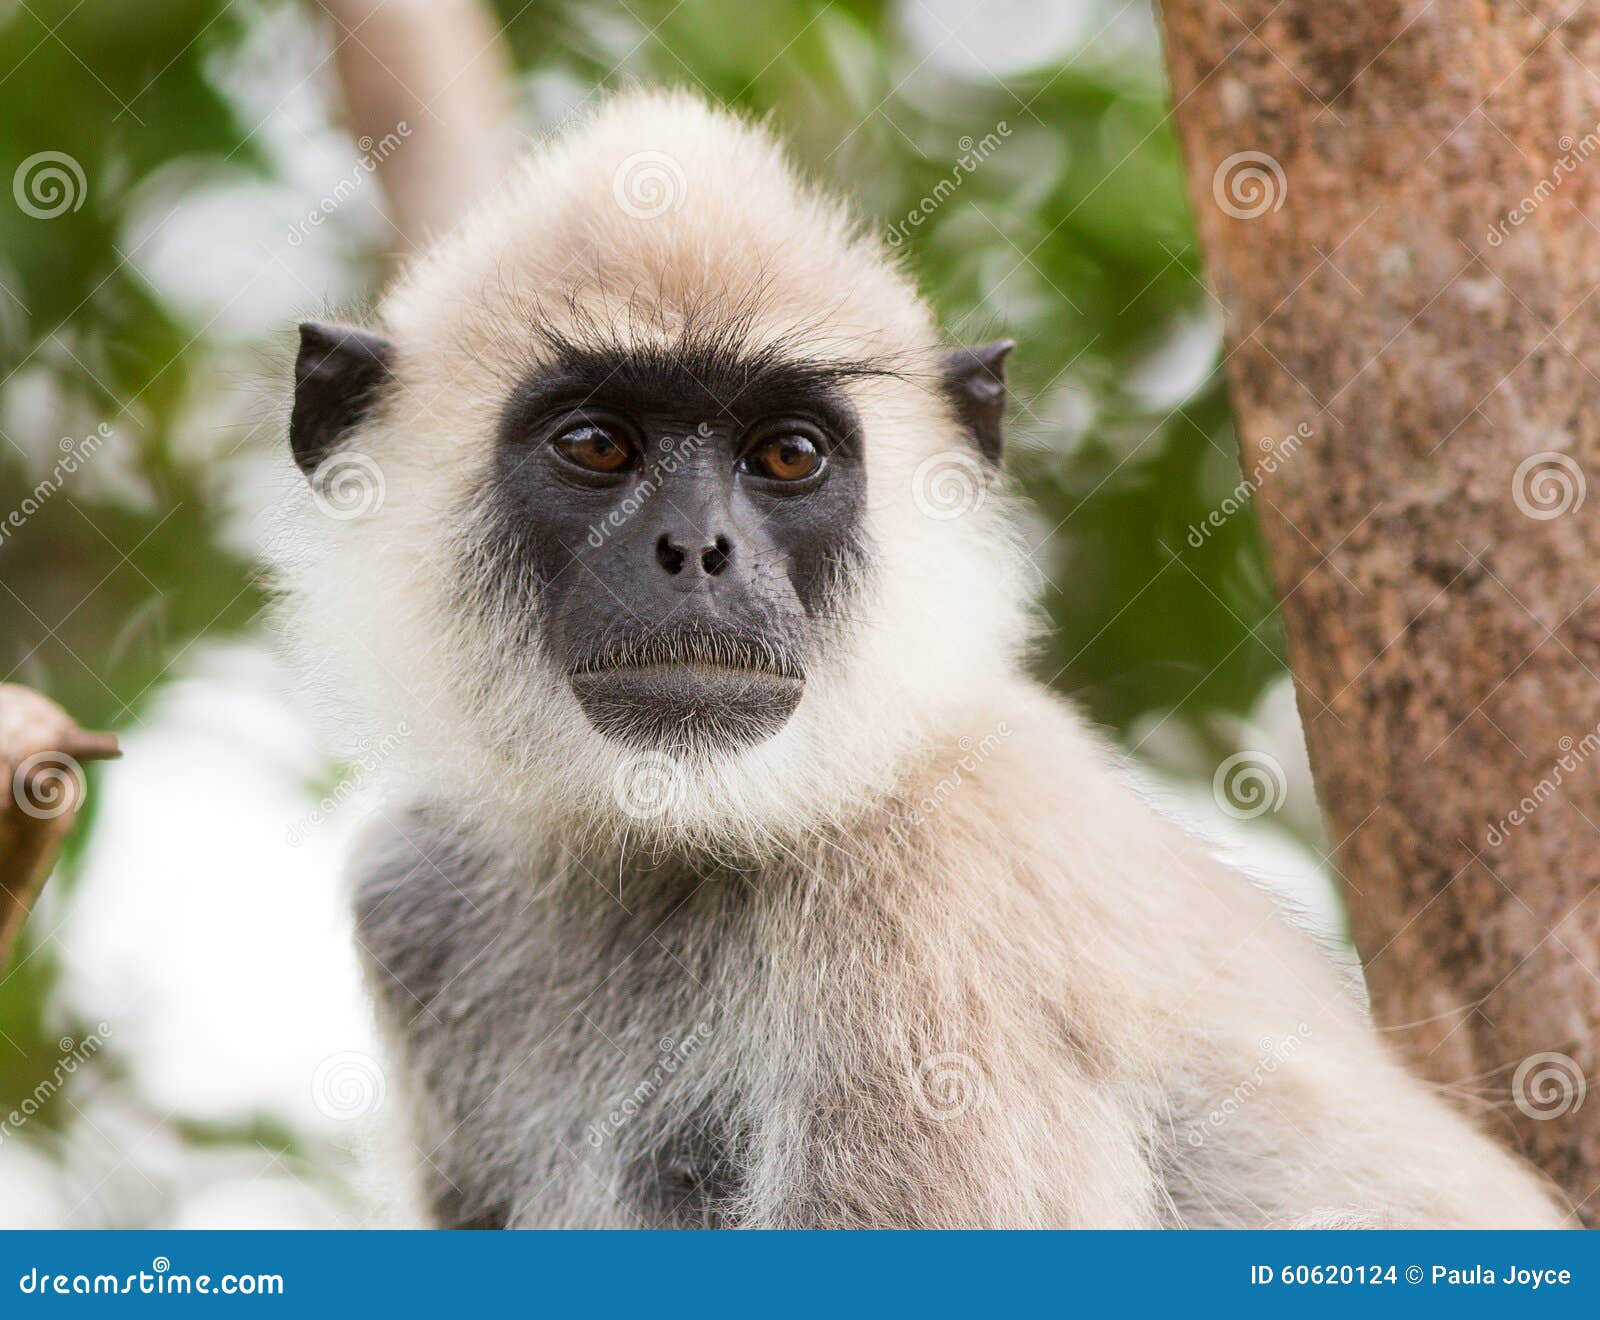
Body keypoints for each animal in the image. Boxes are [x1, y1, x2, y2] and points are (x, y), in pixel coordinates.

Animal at [278, 89, 1569, 1229]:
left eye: (786, 457)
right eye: (596, 445)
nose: (695, 551)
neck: (668, 846)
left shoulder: (931, 904)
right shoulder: (415, 894)